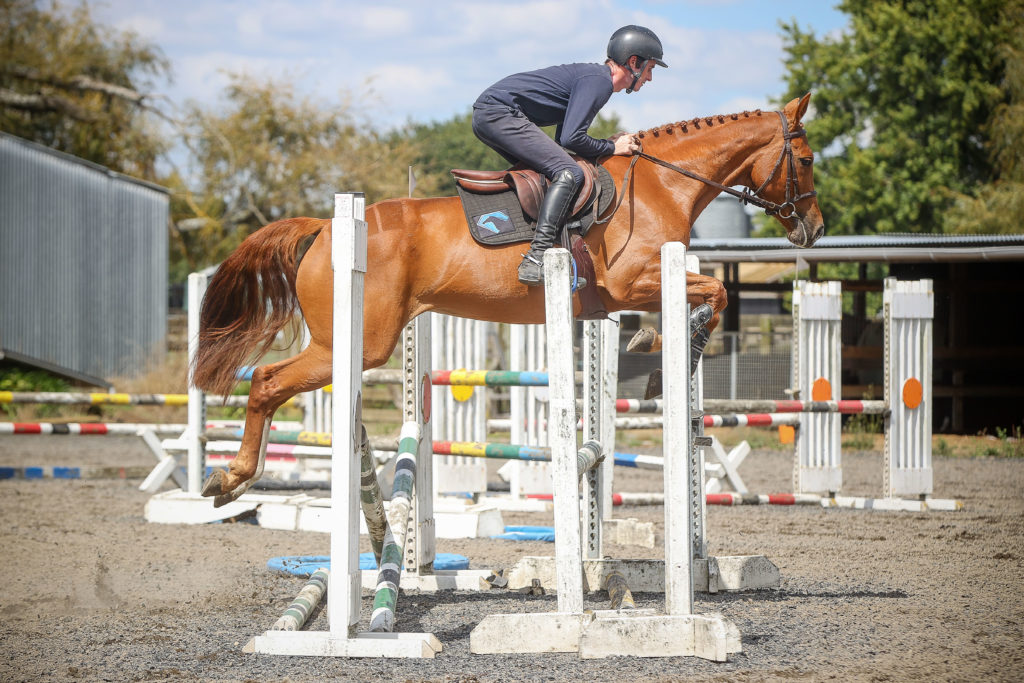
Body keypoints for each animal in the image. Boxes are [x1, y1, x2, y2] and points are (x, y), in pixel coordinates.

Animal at [193, 93, 823, 506]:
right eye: (809, 160)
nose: (814, 229)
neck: (662, 183)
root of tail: (324, 227)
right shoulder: (633, 282)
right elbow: (714, 292)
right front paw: (661, 348)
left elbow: (706, 295)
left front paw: (656, 346)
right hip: (355, 345)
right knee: (266, 382)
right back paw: (230, 478)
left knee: (269, 383)